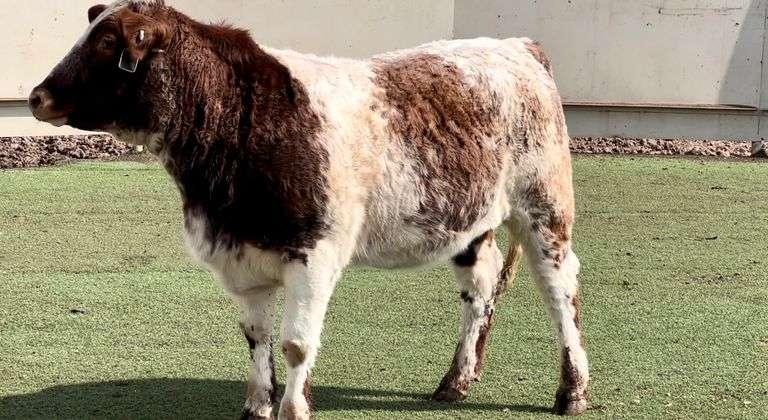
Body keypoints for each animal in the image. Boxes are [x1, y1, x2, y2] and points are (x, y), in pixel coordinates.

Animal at [29, 1, 590, 418]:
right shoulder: (242, 259)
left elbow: (296, 343)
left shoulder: (314, 255)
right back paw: (456, 380)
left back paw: (572, 391)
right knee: (481, 284)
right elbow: (256, 337)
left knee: (561, 292)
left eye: (107, 43)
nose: (36, 96)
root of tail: (516, 45)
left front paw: (294, 409)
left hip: (544, 208)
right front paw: (256, 408)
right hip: (470, 223)